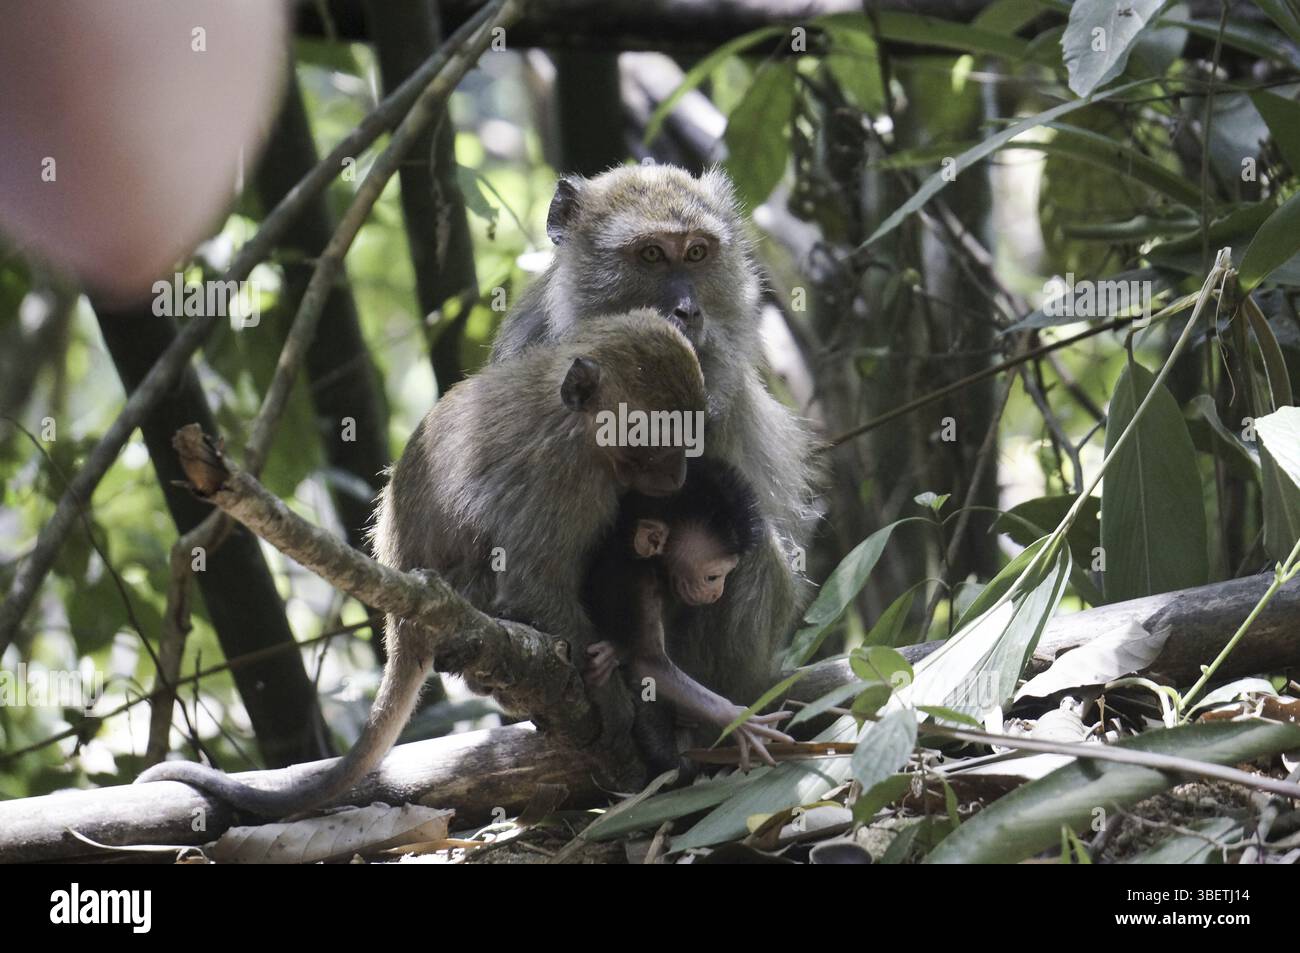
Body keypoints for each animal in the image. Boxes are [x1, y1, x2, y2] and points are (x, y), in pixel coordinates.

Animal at [137, 309, 708, 816]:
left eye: (686, 436)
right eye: (656, 441)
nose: (679, 477)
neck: (584, 432)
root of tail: (402, 626)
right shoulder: (561, 474)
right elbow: (530, 584)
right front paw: (612, 694)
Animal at [582, 457, 794, 771]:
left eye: (725, 575)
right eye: (712, 577)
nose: (717, 593)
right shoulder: (640, 582)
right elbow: (648, 665)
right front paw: (735, 720)